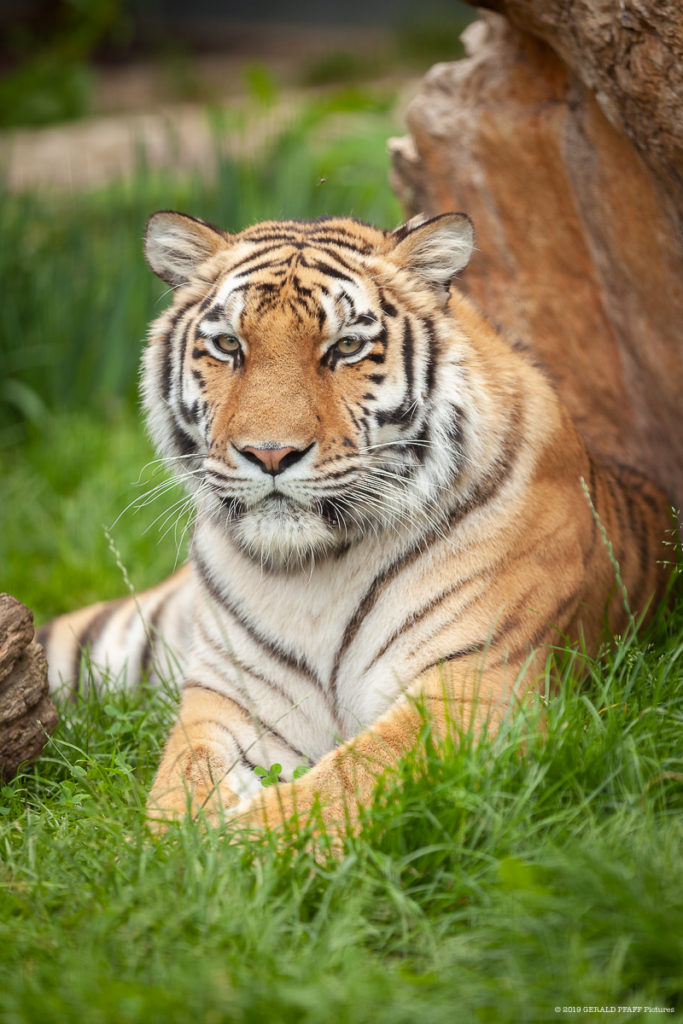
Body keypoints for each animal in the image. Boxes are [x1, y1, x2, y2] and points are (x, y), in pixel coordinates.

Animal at [38, 210, 672, 838]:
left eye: (345, 347)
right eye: (227, 344)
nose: (270, 454)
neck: (315, 571)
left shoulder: (475, 686)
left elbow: (348, 778)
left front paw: (239, 843)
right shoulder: (226, 699)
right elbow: (181, 783)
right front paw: (181, 846)